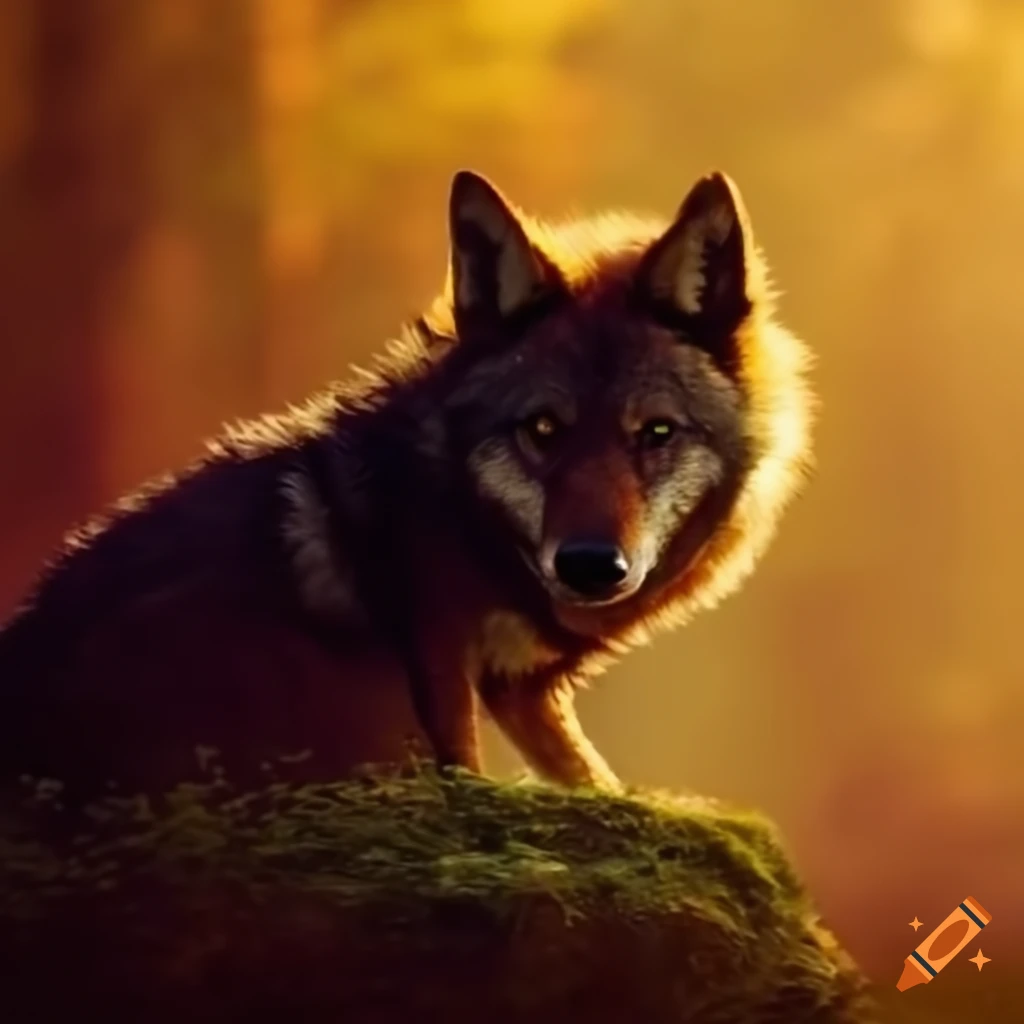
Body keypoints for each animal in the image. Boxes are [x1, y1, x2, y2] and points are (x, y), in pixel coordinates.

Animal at [0, 169, 814, 804]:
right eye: (543, 429)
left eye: (656, 432)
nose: (589, 565)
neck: (456, 514)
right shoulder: (439, 662)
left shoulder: (523, 690)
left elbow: (598, 781)